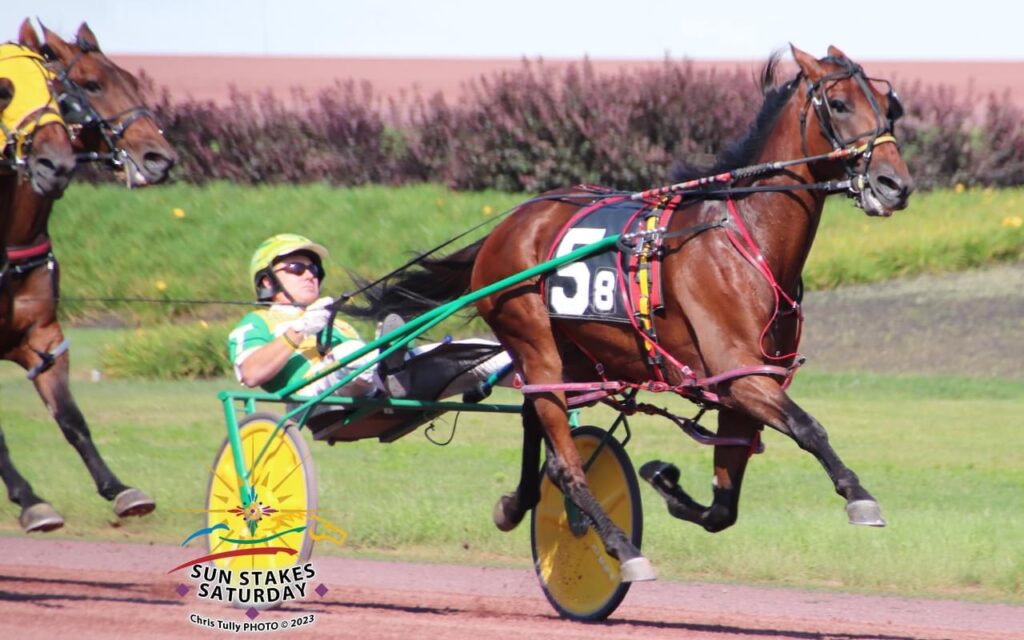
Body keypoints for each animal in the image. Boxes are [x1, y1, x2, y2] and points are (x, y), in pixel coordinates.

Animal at [0, 20, 177, 533]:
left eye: (133, 82)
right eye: (90, 86)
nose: (160, 157)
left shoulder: (42, 335)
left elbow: (72, 418)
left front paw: (119, 489)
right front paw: (30, 499)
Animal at [344, 45, 913, 580]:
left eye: (890, 107)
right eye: (838, 104)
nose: (895, 185)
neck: (744, 239)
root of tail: (509, 226)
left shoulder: (743, 384)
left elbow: (722, 509)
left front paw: (664, 479)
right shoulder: (740, 375)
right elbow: (809, 427)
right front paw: (860, 496)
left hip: (570, 355)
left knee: (537, 424)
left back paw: (518, 504)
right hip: (531, 338)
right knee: (564, 458)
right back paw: (621, 547)